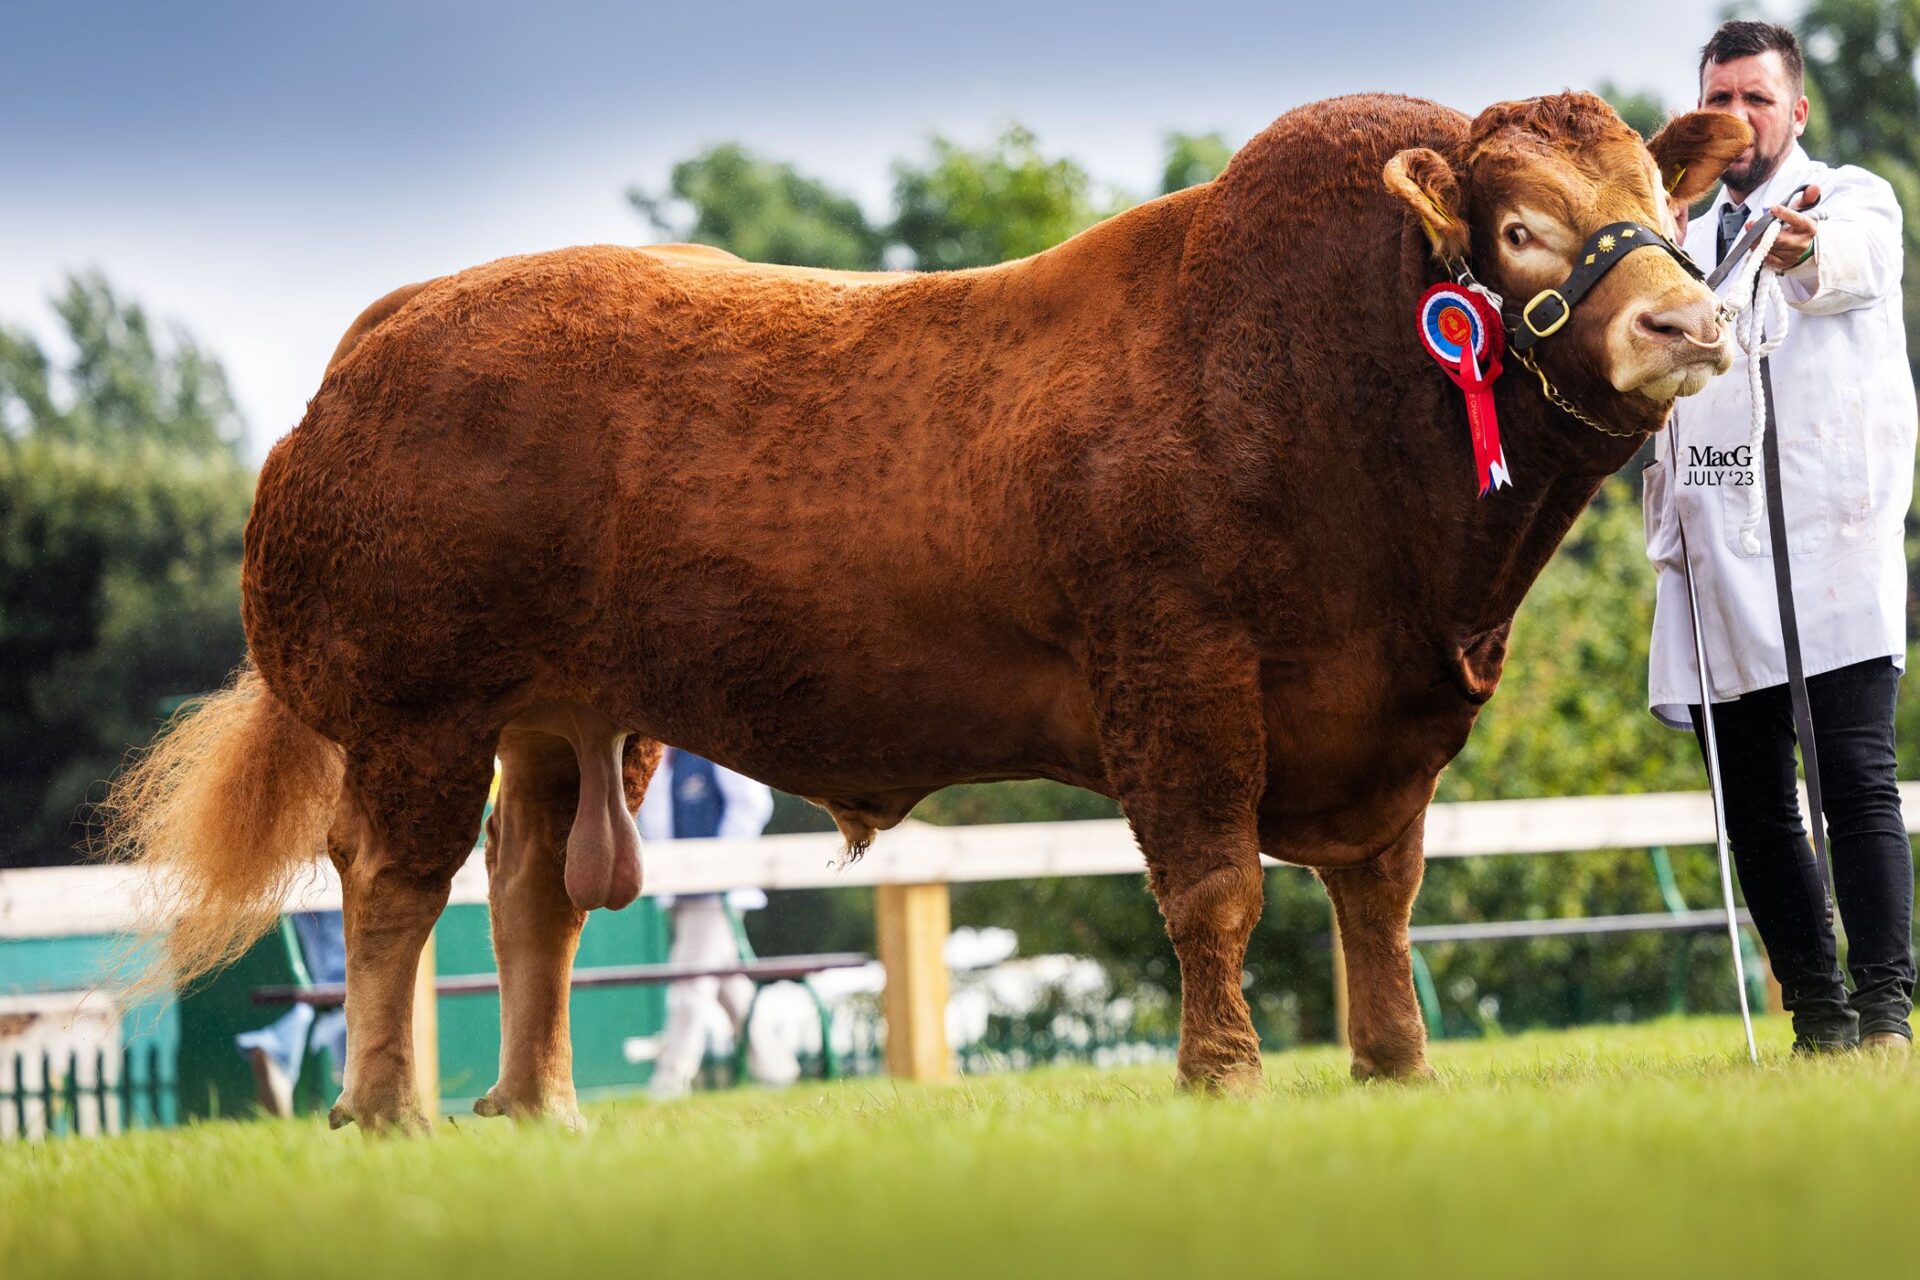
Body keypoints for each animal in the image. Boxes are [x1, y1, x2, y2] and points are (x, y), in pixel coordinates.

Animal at [104, 92, 1750, 1132]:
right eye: (1522, 231)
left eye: (1666, 205)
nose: (1688, 320)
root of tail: (392, 325)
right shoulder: (1181, 676)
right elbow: (1215, 890)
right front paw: (1223, 1076)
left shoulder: (1391, 719)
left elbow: (1381, 900)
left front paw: (1396, 1070)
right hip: (418, 707)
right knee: (394, 890)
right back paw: (392, 1109)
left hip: (563, 713)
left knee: (532, 893)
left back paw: (535, 1105)